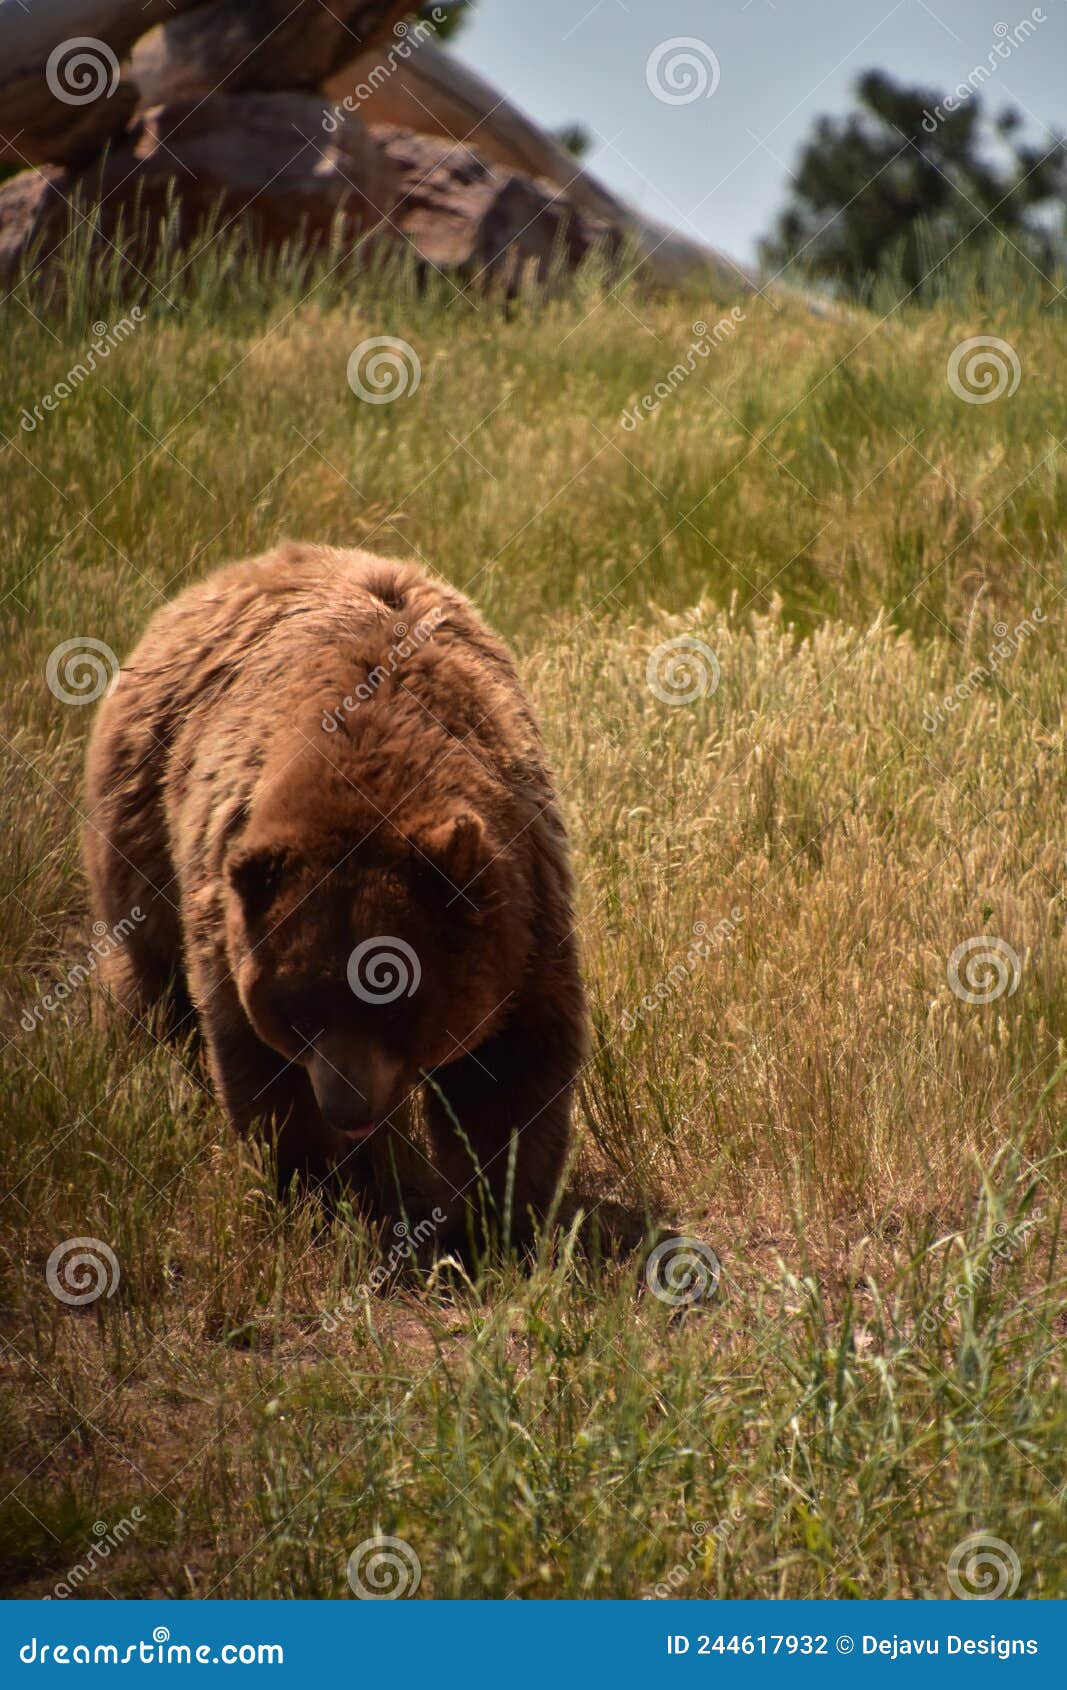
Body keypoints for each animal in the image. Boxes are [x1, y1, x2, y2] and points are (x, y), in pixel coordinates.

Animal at [83, 542, 587, 1244]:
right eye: (297, 1008)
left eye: (399, 1002)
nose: (347, 1107)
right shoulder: (229, 916)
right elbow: (260, 1070)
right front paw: (320, 1193)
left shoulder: (524, 904)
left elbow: (510, 1070)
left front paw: (497, 1217)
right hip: (142, 831)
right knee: (152, 979)